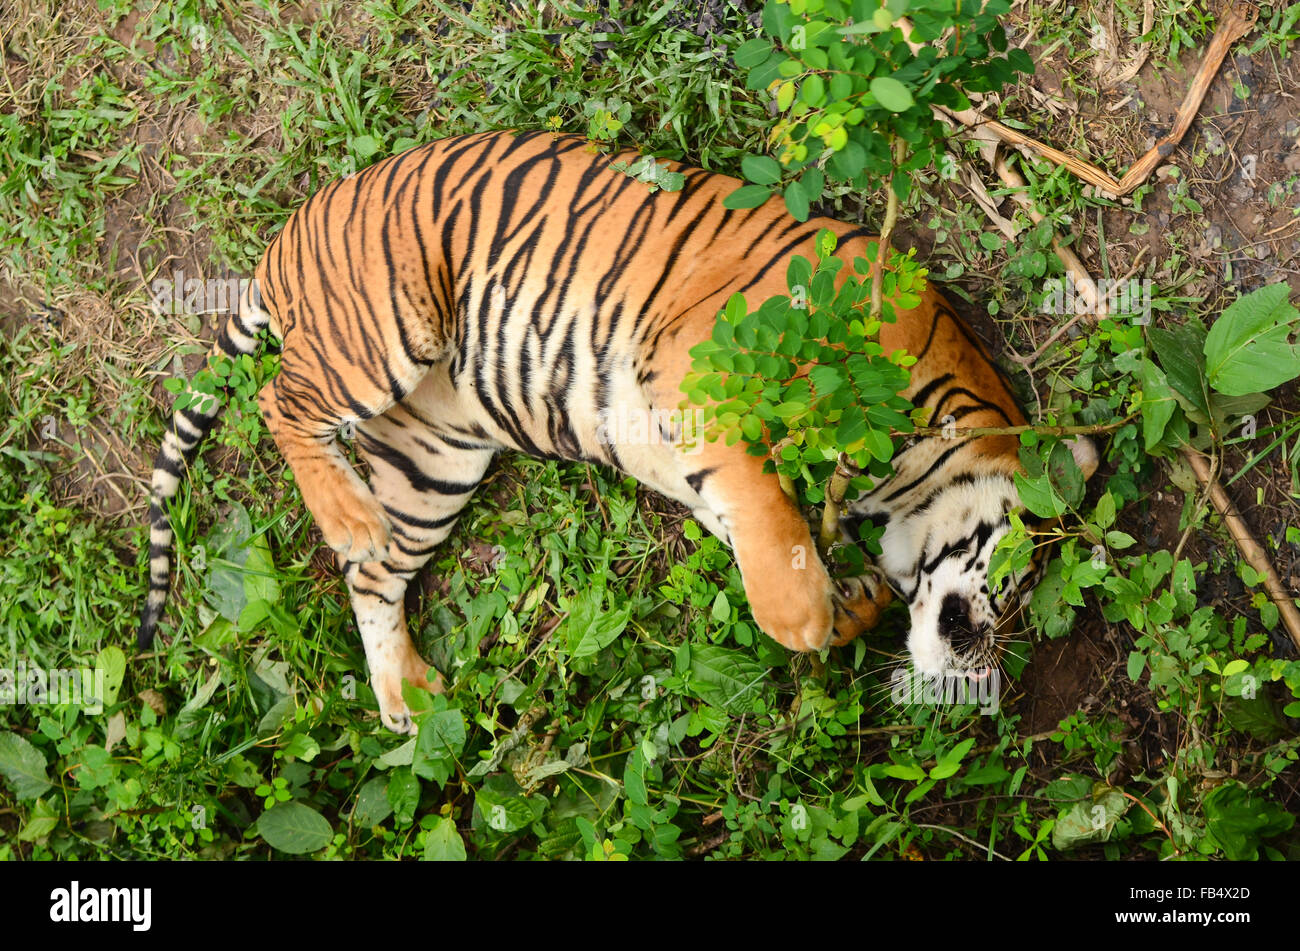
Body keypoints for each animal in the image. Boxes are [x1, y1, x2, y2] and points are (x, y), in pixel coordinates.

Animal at [139, 129, 1097, 733]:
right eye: (1021, 584)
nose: (987, 686)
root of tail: (288, 235)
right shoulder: (704, 371)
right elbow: (776, 527)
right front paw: (807, 618)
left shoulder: (703, 475)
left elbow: (768, 530)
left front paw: (849, 602)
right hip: (383, 329)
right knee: (278, 403)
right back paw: (343, 516)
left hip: (434, 462)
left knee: (371, 575)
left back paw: (406, 692)